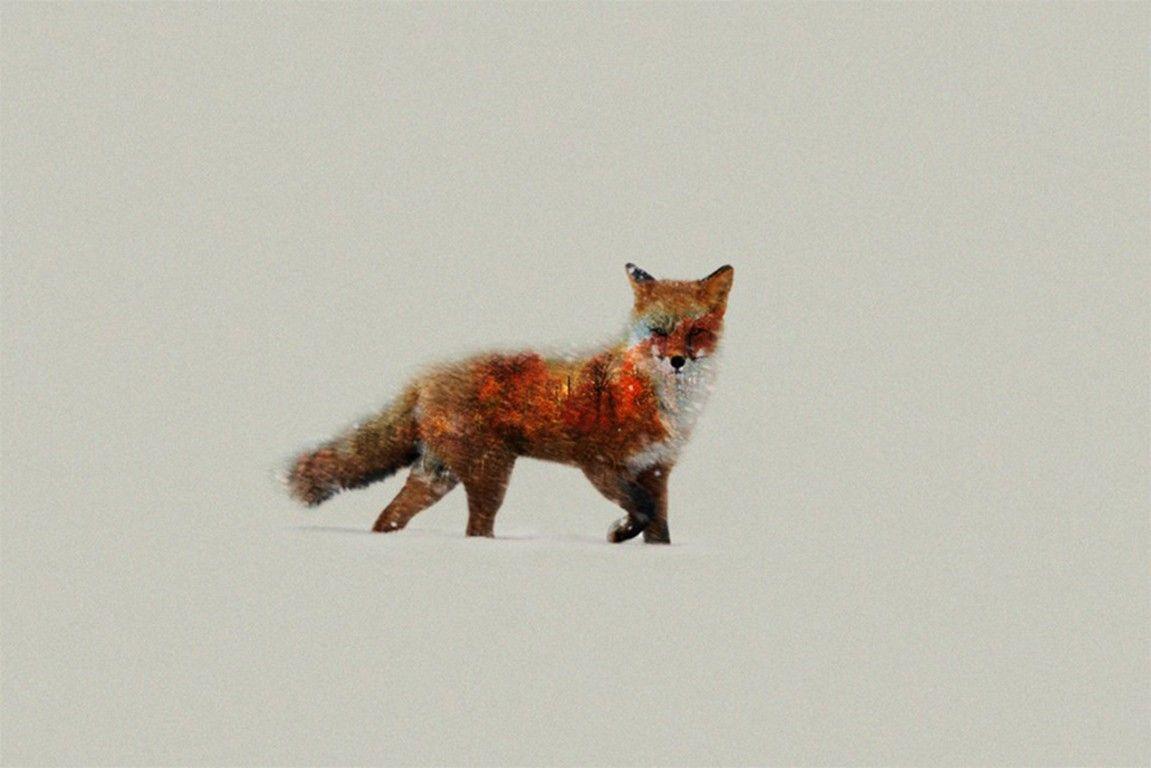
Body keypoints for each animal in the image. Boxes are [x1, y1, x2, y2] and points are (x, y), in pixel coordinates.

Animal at [286, 263, 733, 544]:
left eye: (696, 332)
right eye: (659, 331)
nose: (677, 361)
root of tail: (425, 375)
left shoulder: (658, 469)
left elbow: (659, 528)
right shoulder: (599, 465)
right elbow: (641, 511)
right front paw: (619, 533)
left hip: (439, 476)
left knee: (388, 517)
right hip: (490, 473)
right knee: (474, 531)